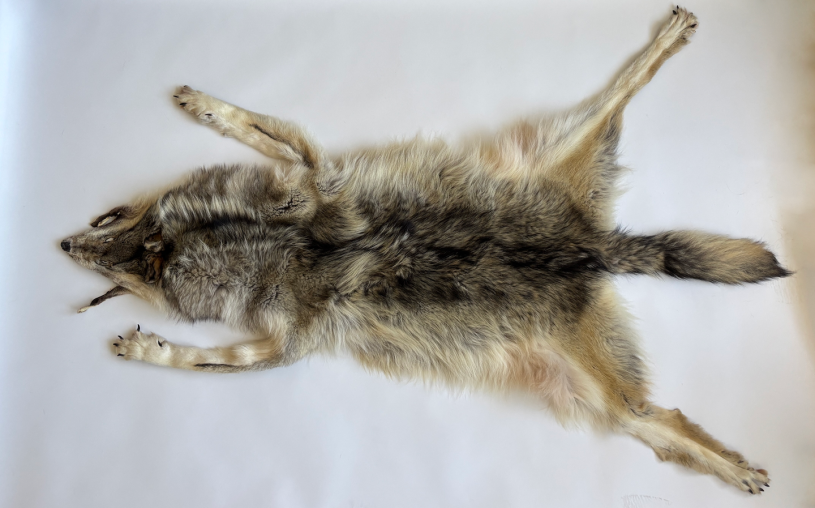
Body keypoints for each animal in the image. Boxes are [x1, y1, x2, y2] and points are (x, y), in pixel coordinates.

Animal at [61, 6, 786, 493]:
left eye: (123, 237)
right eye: (112, 221)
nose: (66, 243)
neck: (280, 248)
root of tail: (593, 250)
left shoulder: (304, 213)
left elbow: (264, 131)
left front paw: (148, 348)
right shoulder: (294, 259)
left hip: (593, 367)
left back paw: (734, 468)